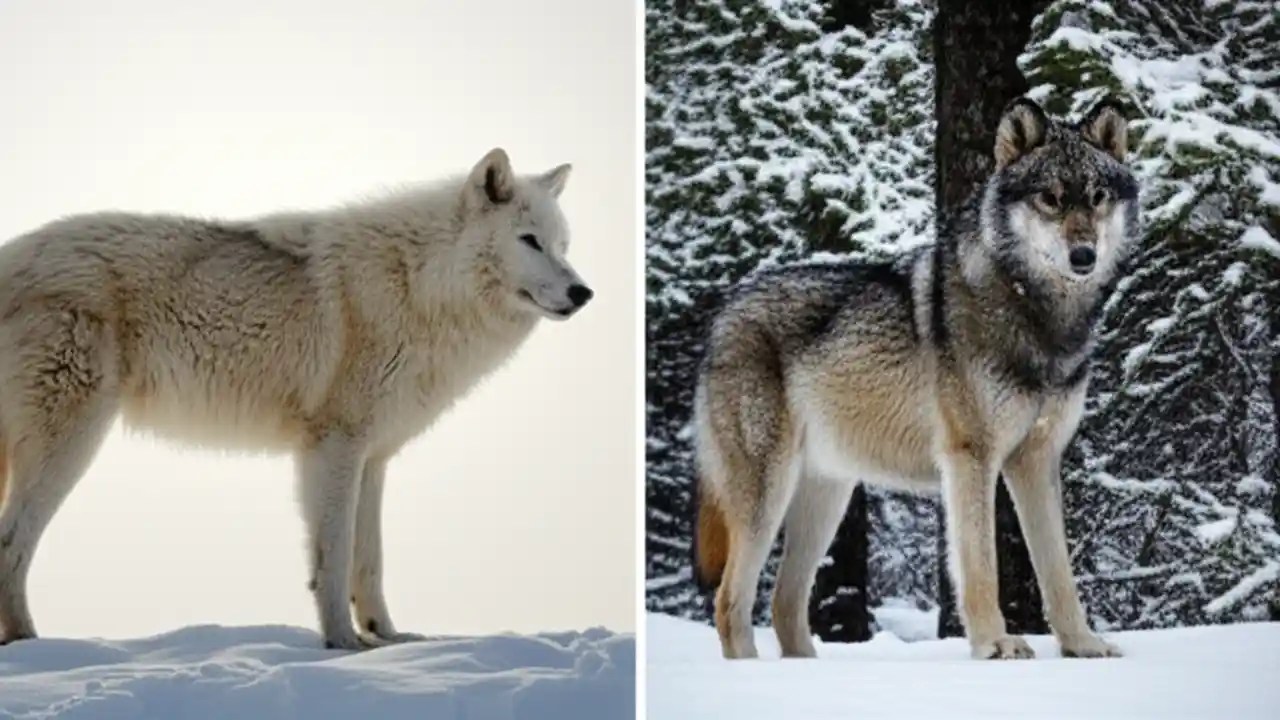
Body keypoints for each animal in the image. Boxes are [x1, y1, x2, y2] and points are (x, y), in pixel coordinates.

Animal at [0, 148, 592, 649]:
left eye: (563, 245)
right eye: (529, 240)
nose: (583, 292)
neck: (420, 285)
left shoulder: (373, 457)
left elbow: (369, 562)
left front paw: (388, 640)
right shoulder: (334, 445)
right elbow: (334, 558)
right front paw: (342, 646)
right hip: (71, 442)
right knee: (11, 543)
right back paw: (34, 647)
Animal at [692, 98, 1138, 660]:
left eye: (1098, 197)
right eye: (1051, 199)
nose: (1084, 255)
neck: (1038, 315)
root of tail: (723, 315)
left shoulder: (1036, 462)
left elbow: (1059, 573)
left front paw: (1082, 646)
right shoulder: (971, 458)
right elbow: (980, 569)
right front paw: (995, 645)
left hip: (826, 498)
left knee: (783, 604)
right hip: (766, 497)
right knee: (730, 602)